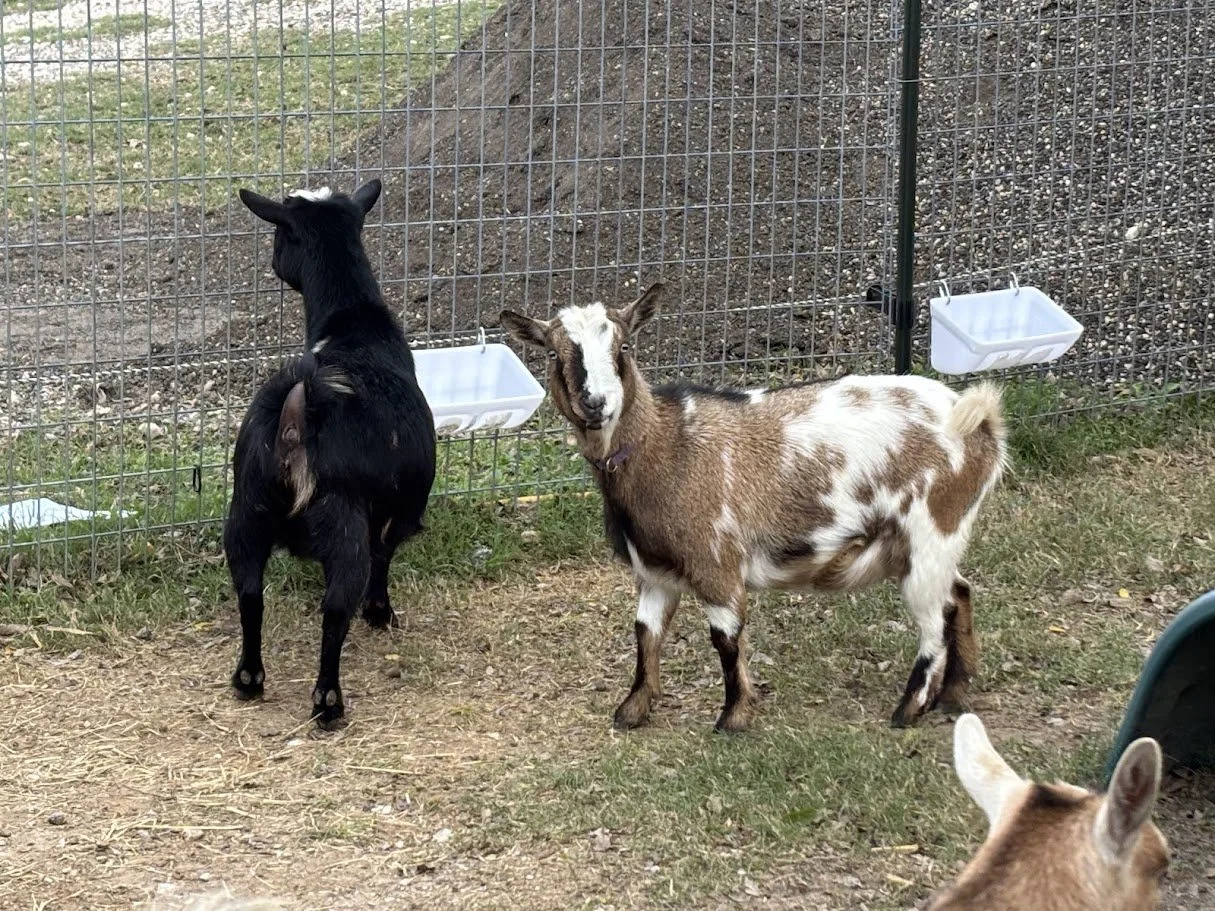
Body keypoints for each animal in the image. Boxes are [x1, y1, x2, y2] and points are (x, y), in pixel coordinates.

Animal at [225, 180, 437, 726]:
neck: (353, 327)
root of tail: (296, 418)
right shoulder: (396, 513)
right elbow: (384, 558)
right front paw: (380, 613)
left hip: (246, 512)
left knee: (249, 591)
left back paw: (249, 678)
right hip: (343, 524)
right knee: (336, 606)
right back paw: (328, 701)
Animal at [499, 281, 1007, 732]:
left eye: (624, 347)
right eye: (552, 353)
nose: (595, 403)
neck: (666, 445)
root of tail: (978, 420)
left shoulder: (715, 563)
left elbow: (725, 638)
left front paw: (734, 716)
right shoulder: (655, 573)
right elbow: (645, 634)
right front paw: (633, 710)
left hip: (932, 526)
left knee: (932, 621)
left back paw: (909, 709)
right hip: (929, 543)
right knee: (958, 595)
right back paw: (954, 694)